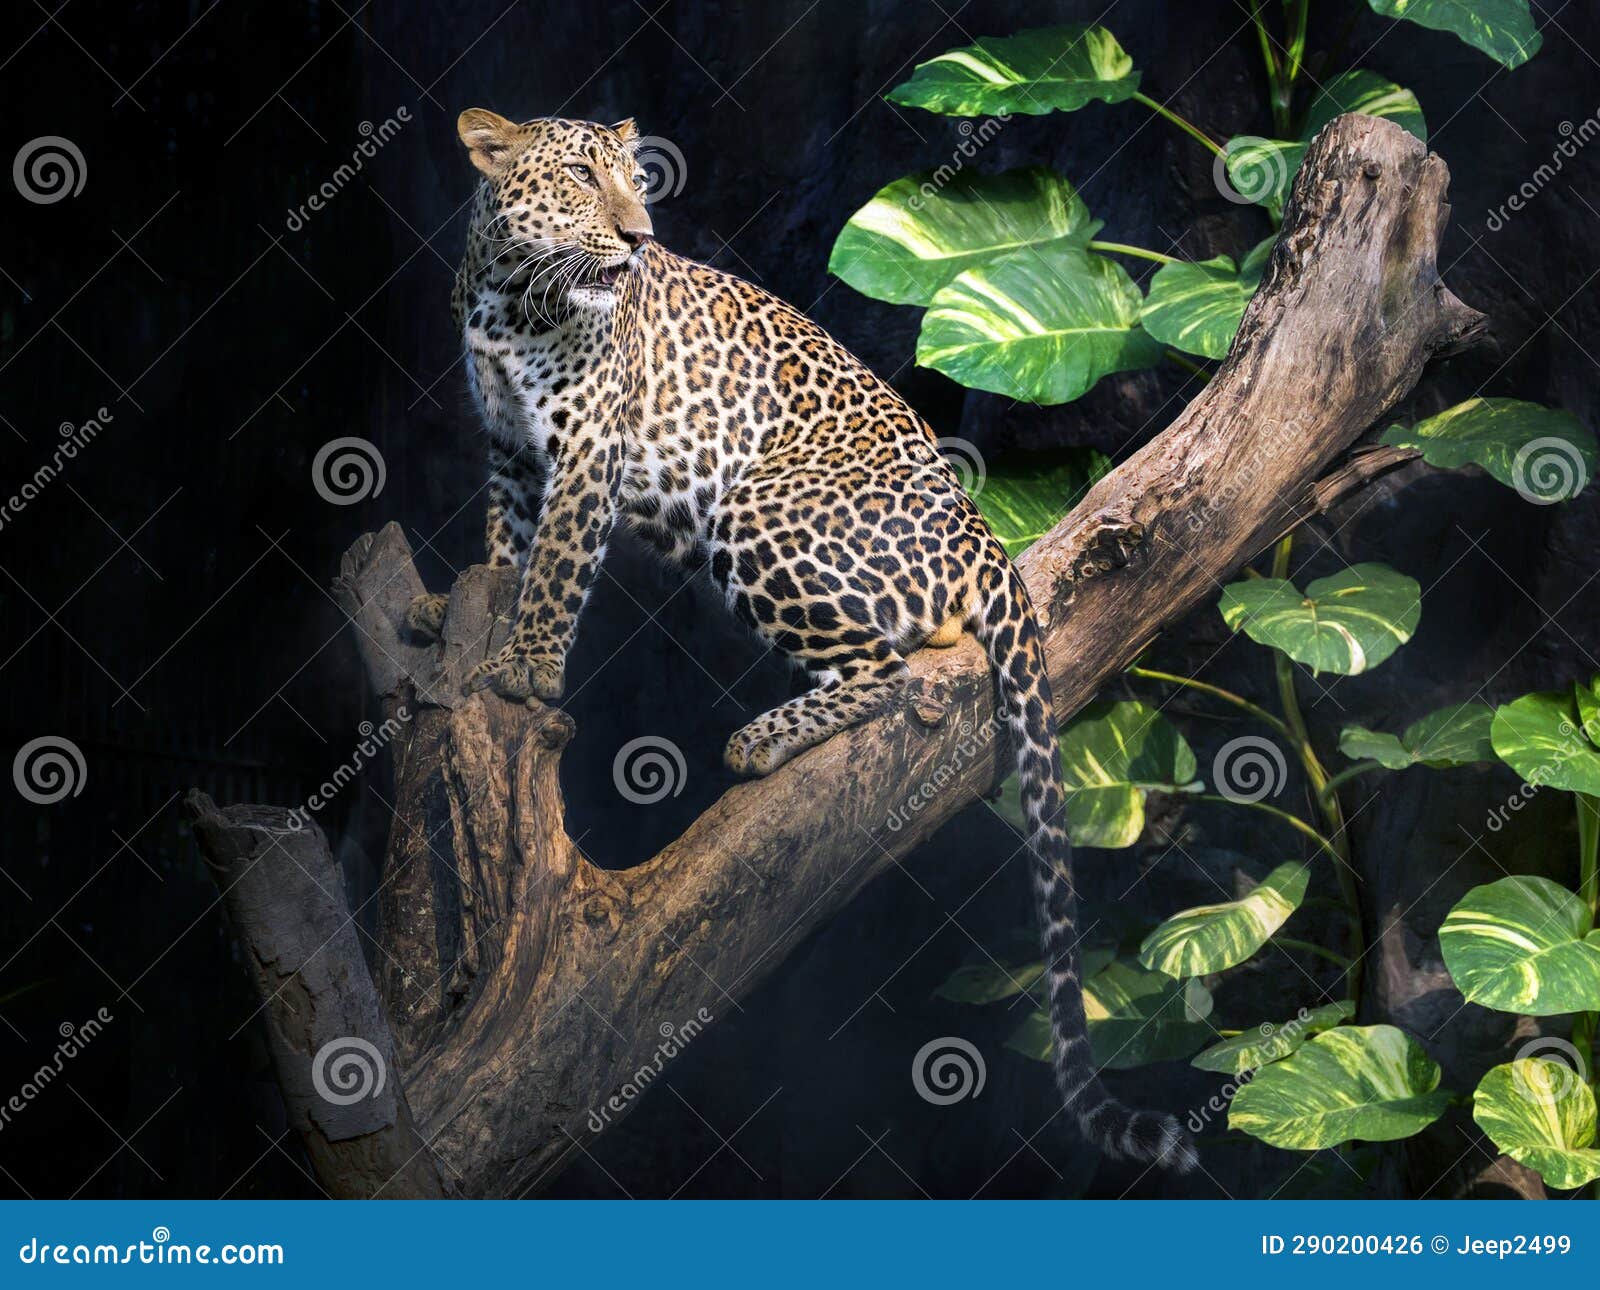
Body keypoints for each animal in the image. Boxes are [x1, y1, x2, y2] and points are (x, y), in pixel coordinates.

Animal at [410, 107, 1197, 1175]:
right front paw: (454, 611)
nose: (639, 240)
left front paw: (527, 669)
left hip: (754, 510)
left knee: (893, 673)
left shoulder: (587, 451)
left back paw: (763, 739)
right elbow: (506, 555)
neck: (509, 296)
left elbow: (560, 567)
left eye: (636, 183)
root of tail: (988, 535)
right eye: (580, 179)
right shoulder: (510, 454)